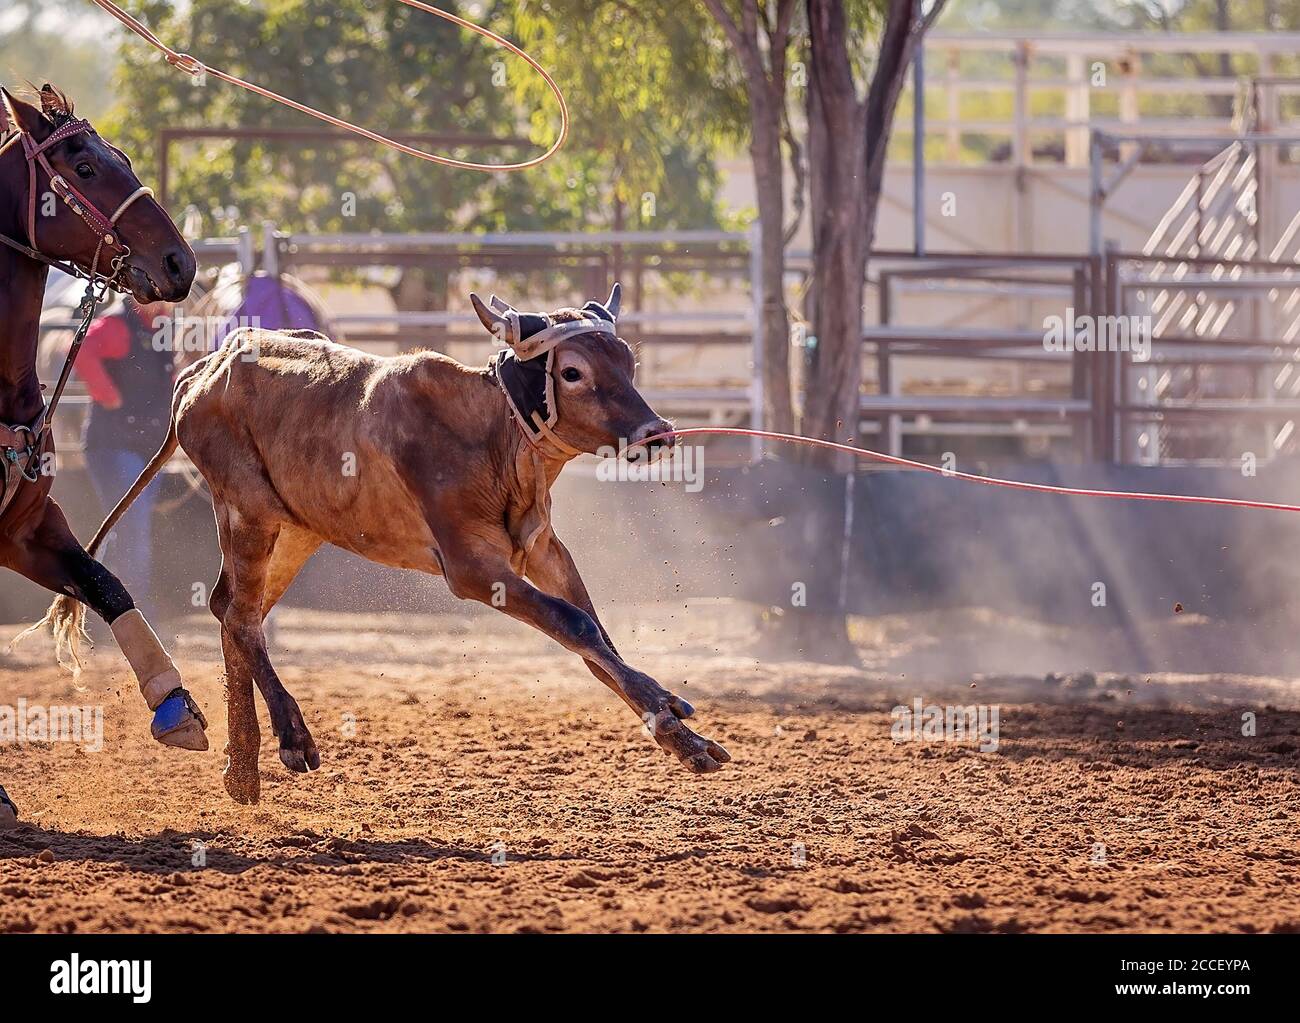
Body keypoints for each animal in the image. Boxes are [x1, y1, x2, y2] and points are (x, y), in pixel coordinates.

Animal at [45, 284, 731, 803]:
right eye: (573, 371)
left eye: (628, 362)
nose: (657, 432)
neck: (488, 437)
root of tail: (199, 374)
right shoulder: (474, 570)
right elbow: (576, 624)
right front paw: (669, 710)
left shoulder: (540, 551)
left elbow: (594, 638)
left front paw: (680, 733)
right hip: (247, 511)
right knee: (239, 617)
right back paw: (286, 742)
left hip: (298, 530)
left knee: (232, 611)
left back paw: (243, 769)